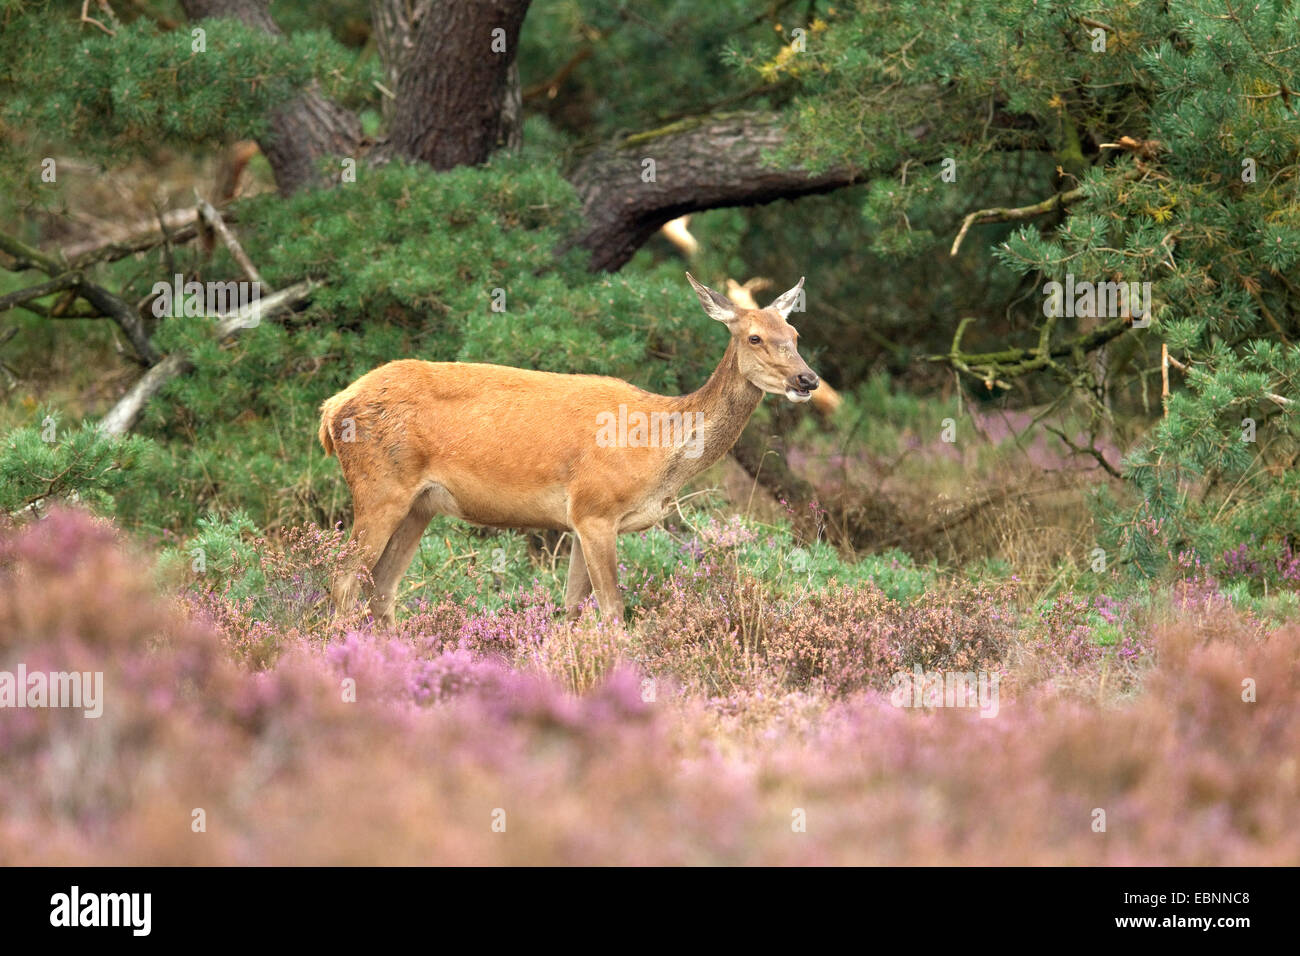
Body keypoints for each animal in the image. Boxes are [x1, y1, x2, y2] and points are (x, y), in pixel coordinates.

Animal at [318, 272, 820, 628]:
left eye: (795, 336)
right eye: (754, 336)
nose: (807, 379)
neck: (659, 451)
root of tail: (331, 408)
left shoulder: (579, 522)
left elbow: (572, 607)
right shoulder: (596, 507)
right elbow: (614, 610)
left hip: (420, 504)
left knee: (381, 588)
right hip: (380, 486)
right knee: (343, 579)